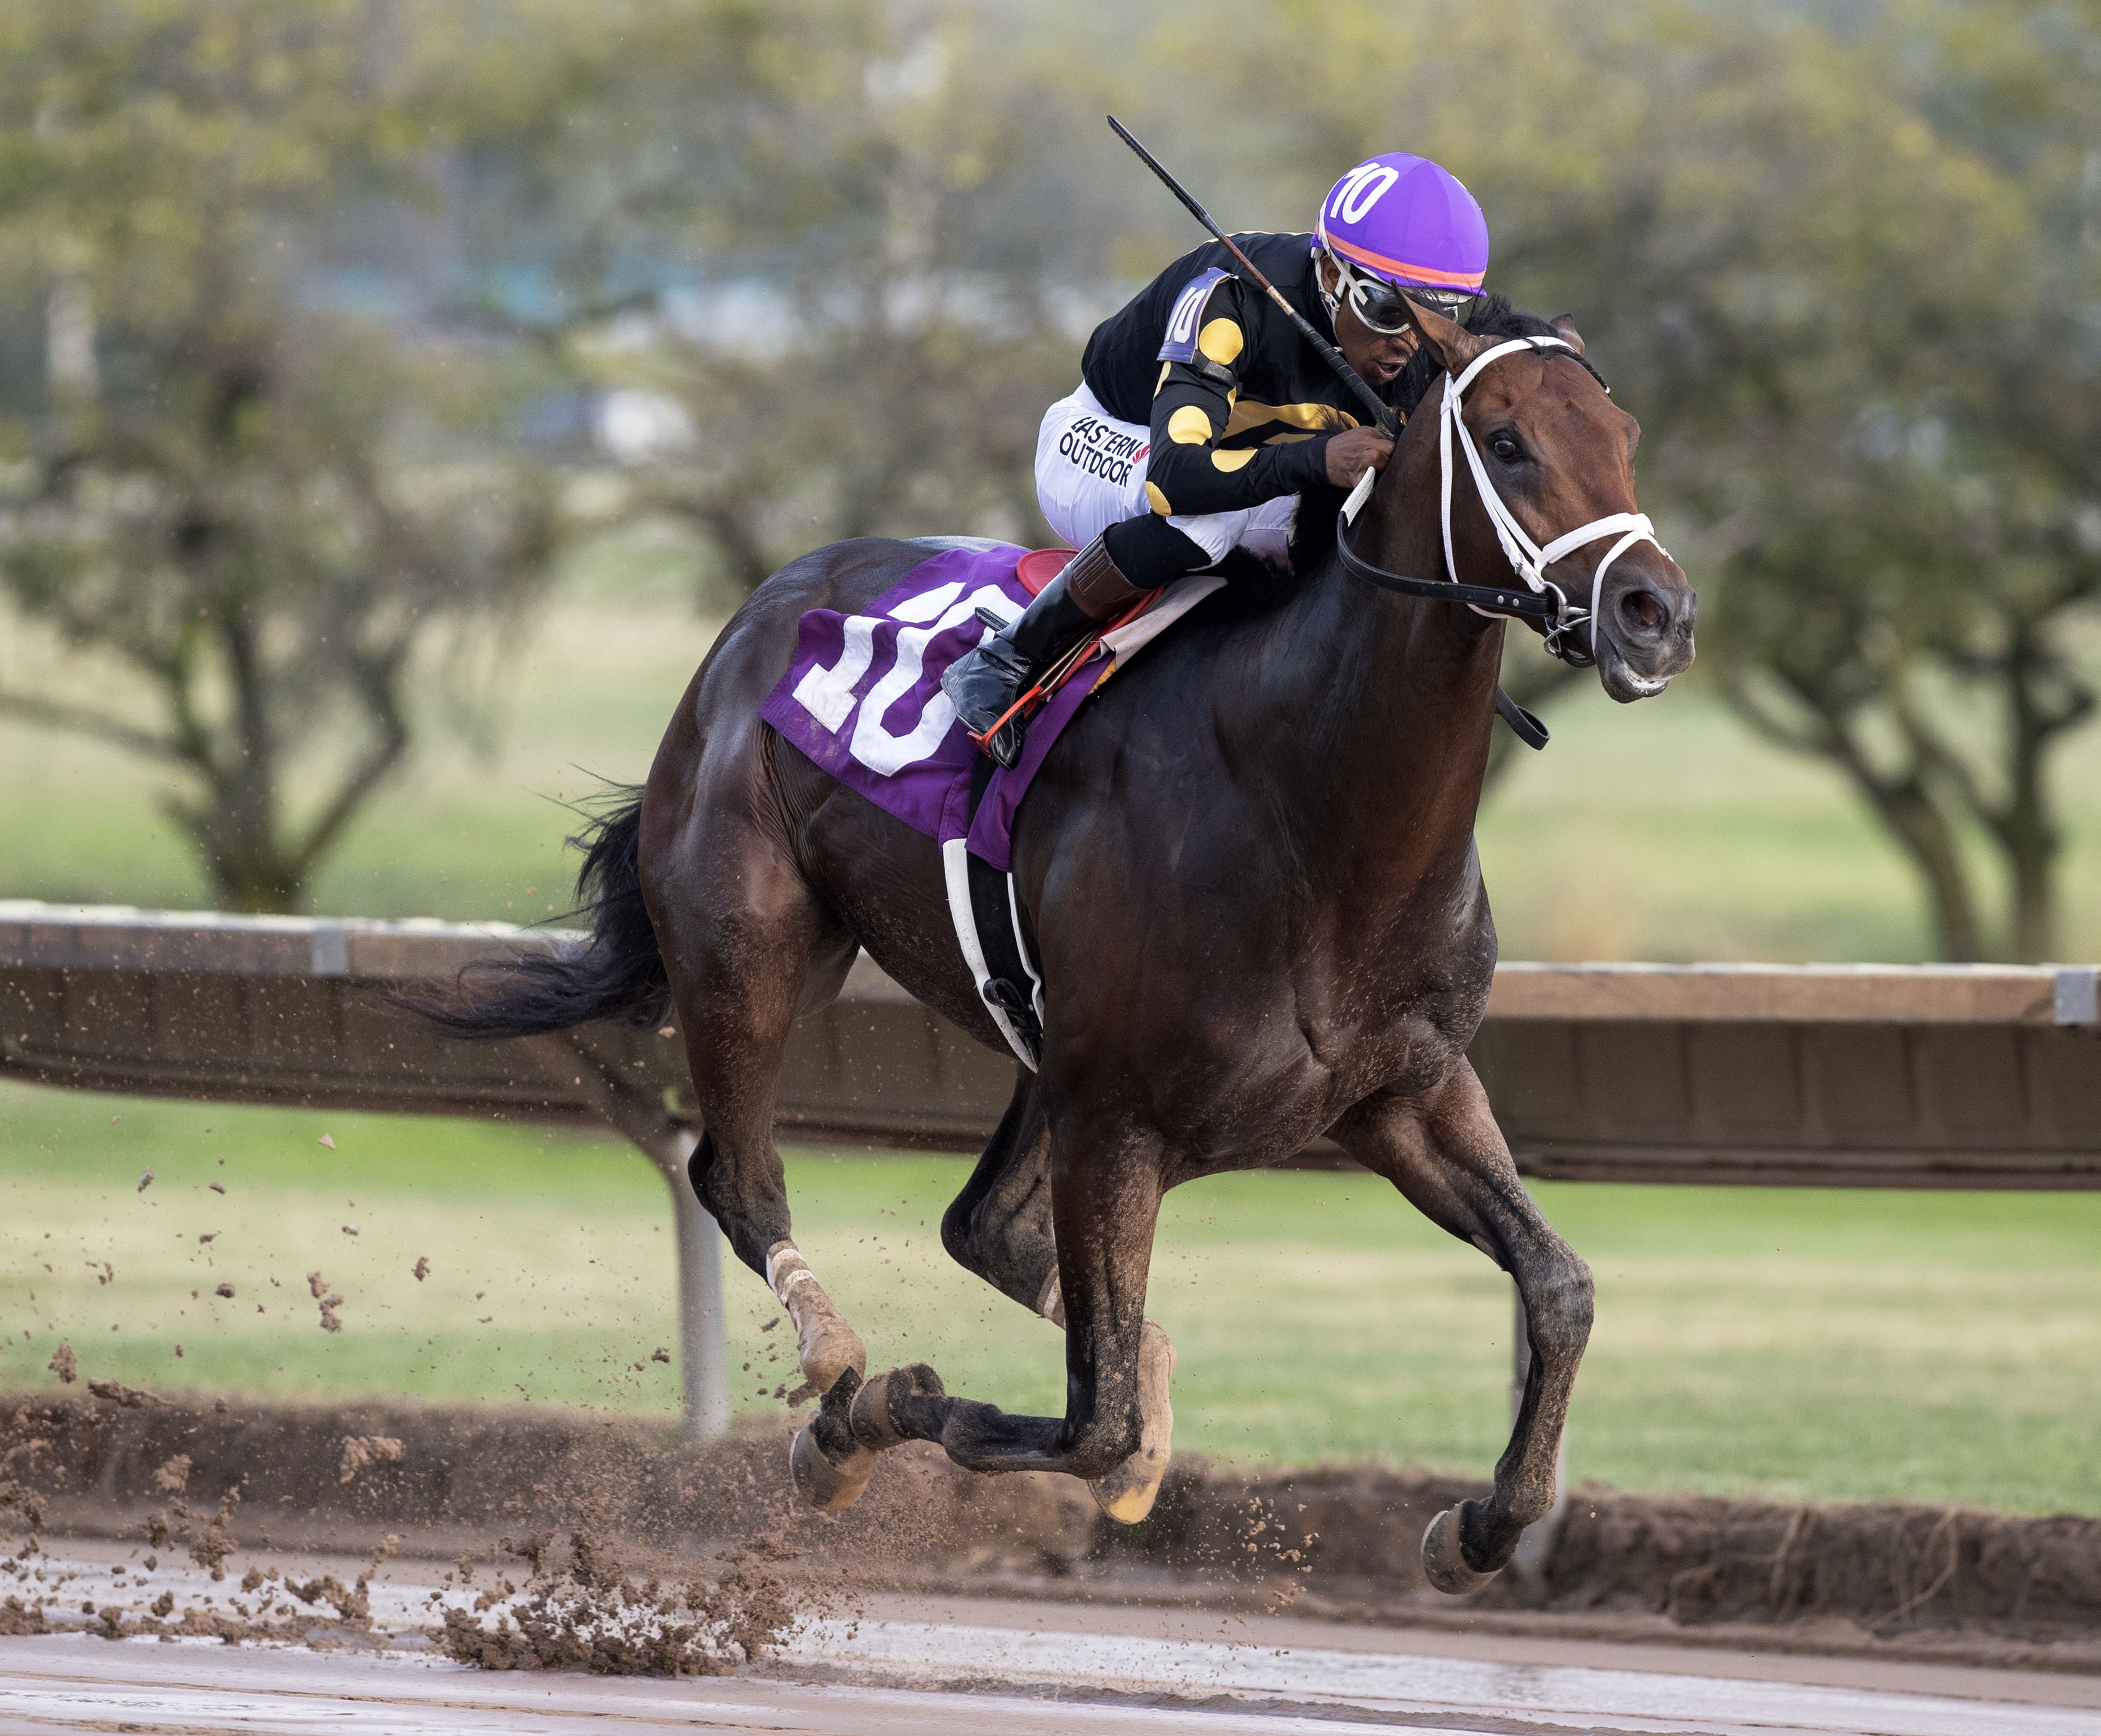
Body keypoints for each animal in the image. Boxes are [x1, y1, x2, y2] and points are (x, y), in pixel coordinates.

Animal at [432, 296, 1695, 1595]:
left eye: (1623, 433)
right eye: (1506, 442)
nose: (1653, 614)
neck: (1308, 799)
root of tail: (759, 607)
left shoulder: (1403, 1090)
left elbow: (1559, 1286)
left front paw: (1480, 1525)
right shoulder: (1115, 1120)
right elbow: (1088, 1421)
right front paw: (868, 1419)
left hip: (1035, 1044)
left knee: (982, 1228)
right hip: (750, 951)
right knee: (741, 1180)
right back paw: (838, 1371)